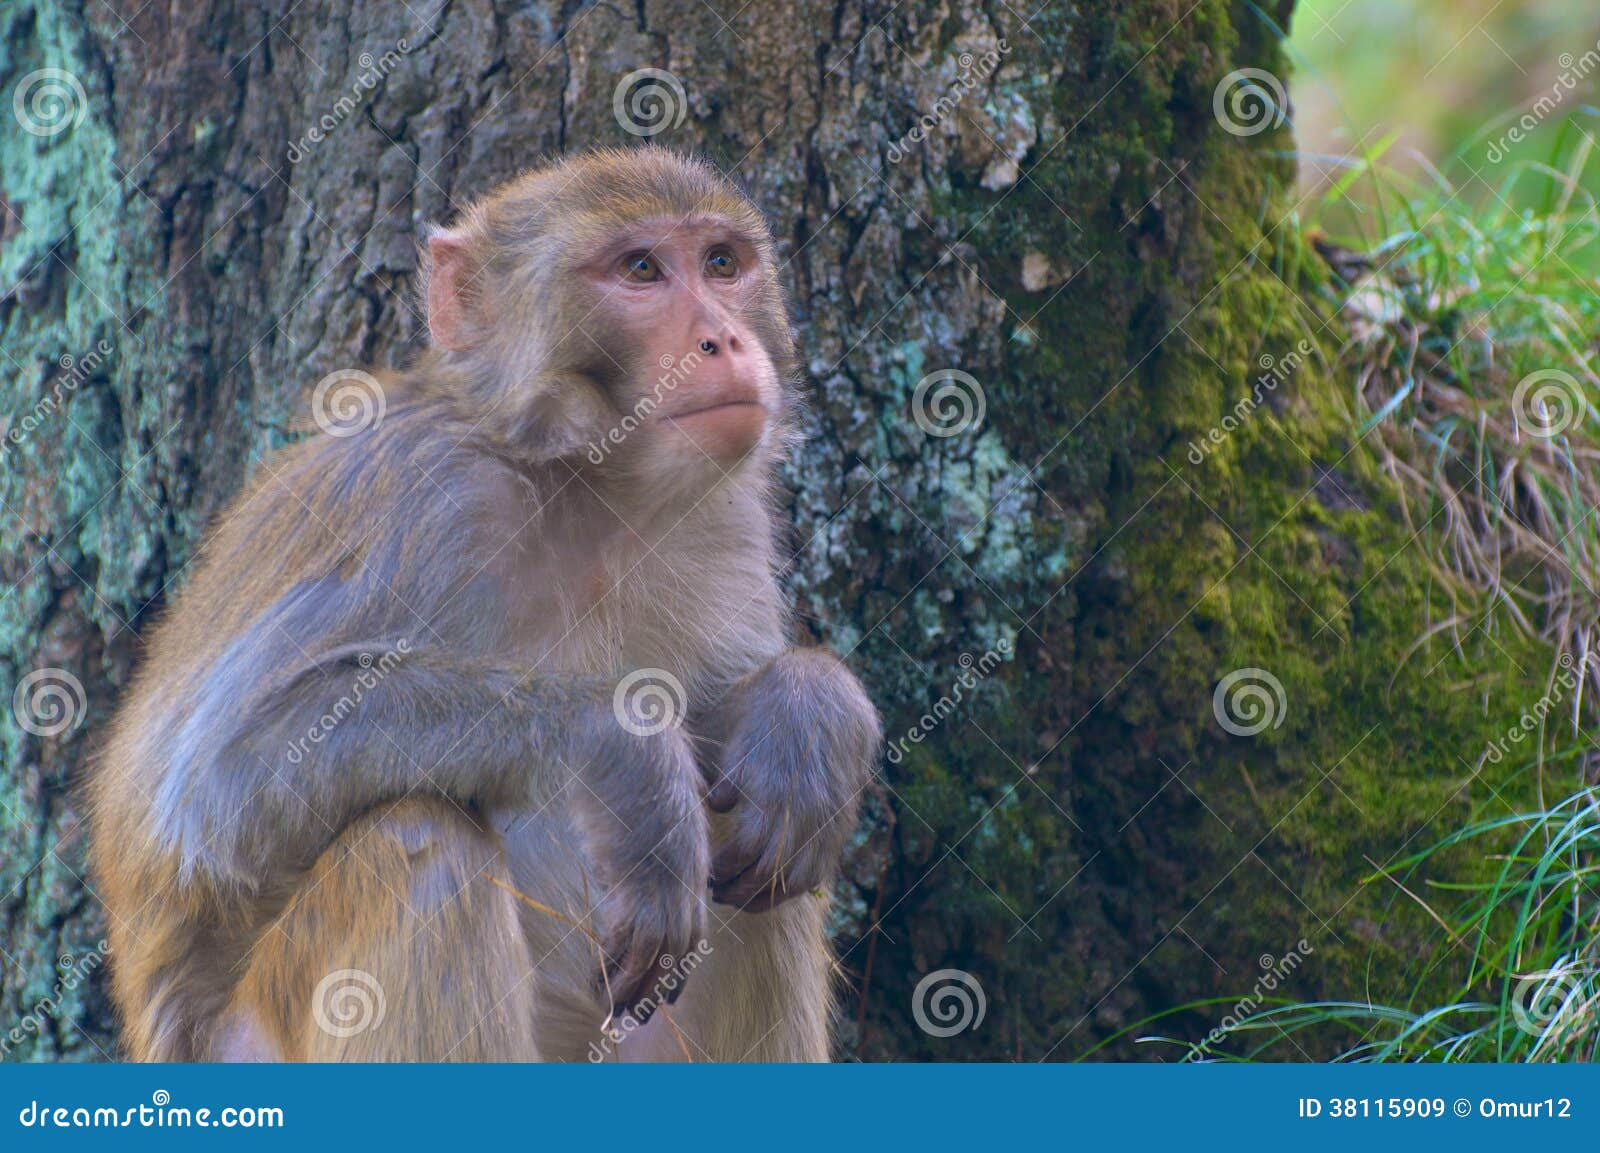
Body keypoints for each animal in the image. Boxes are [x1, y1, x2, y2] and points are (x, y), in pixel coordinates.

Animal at [88, 146, 883, 1063]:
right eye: (640, 270)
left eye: (722, 262)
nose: (722, 338)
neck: (586, 487)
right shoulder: (429, 501)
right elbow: (219, 781)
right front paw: (620, 752)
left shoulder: (727, 523)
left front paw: (808, 712)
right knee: (417, 842)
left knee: (769, 872)